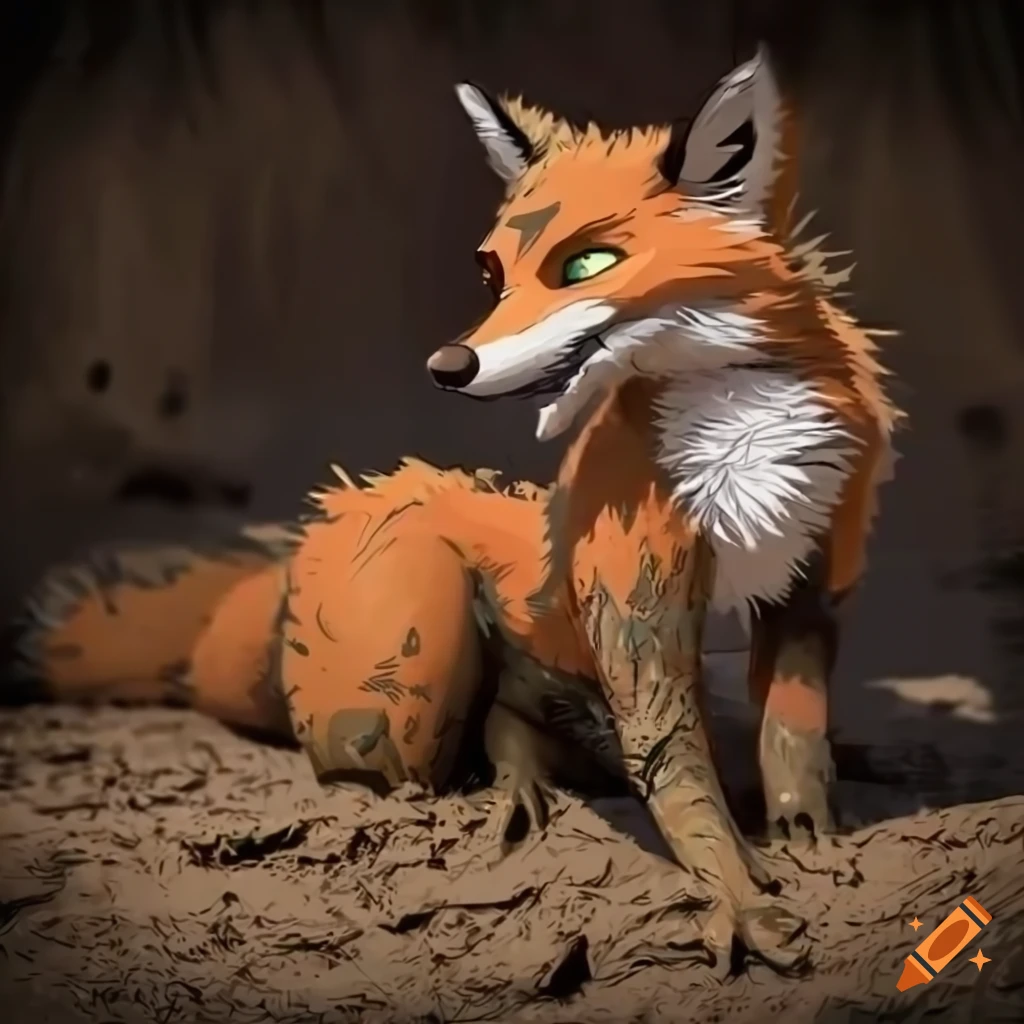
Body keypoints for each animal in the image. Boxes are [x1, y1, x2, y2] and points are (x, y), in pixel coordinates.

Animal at [2, 50, 898, 967]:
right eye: (491, 273)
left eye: (586, 265)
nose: (446, 365)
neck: (742, 442)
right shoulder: (638, 608)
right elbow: (679, 777)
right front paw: (739, 899)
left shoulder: (809, 582)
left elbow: (792, 734)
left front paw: (806, 829)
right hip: (409, 682)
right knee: (422, 753)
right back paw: (494, 793)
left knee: (539, 728)